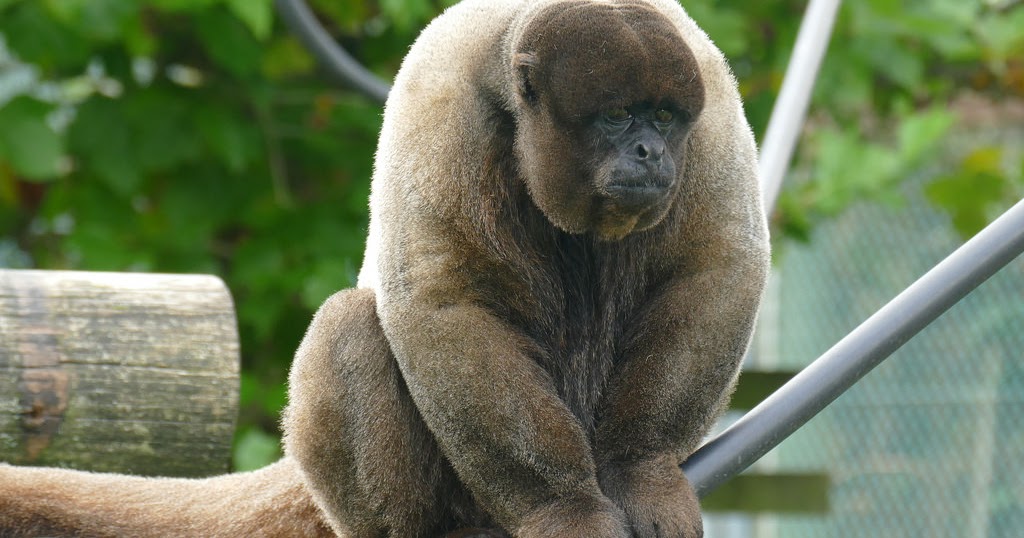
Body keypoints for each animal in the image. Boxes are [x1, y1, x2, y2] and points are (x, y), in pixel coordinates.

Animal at [0, 0, 767, 536]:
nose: (650, 152)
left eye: (663, 117)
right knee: (348, 321)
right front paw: (567, 509)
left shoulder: (711, 97)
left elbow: (719, 263)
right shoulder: (442, 98)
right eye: (614, 118)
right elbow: (442, 298)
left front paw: (641, 472)